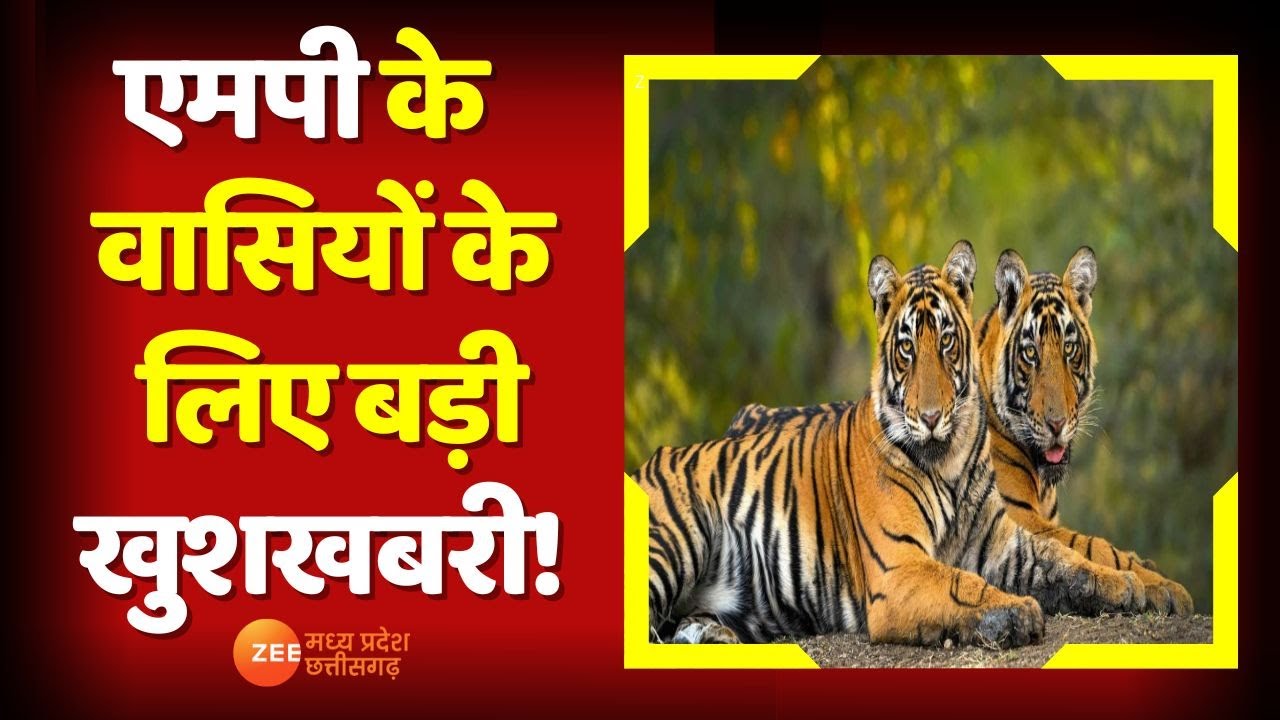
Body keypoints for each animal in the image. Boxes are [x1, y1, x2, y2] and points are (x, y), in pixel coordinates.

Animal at [638, 241, 1146, 647]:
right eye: (906, 349)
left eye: (946, 342)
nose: (931, 417)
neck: (949, 458)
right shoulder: (900, 567)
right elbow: (962, 583)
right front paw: (1019, 612)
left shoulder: (1001, 543)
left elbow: (1068, 557)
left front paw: (1127, 583)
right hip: (676, 540)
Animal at [726, 247, 1193, 615]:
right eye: (1030, 354)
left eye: (1069, 349)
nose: (1058, 424)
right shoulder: (1022, 516)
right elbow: (1094, 545)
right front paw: (1163, 587)